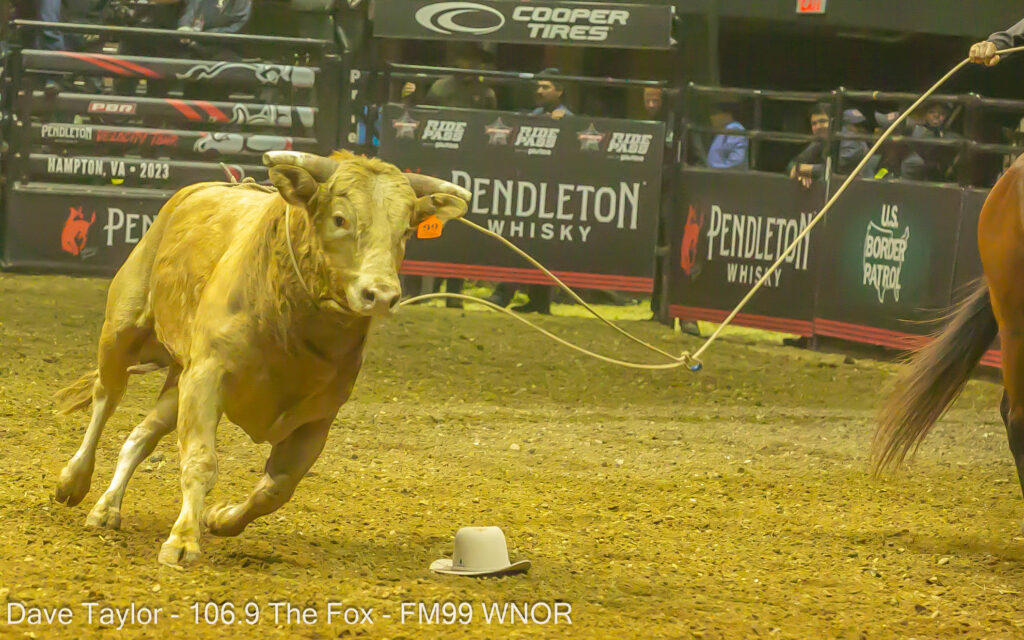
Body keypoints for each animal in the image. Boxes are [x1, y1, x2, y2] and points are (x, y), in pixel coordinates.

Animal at [52, 150, 470, 566]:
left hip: (179, 378)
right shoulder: (207, 376)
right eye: (340, 218)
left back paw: (107, 507)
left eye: (406, 230)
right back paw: (73, 480)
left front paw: (220, 517)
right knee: (105, 397)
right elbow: (201, 461)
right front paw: (183, 541)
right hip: (122, 330)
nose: (381, 295)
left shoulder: (318, 416)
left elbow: (277, 487)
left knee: (140, 435)